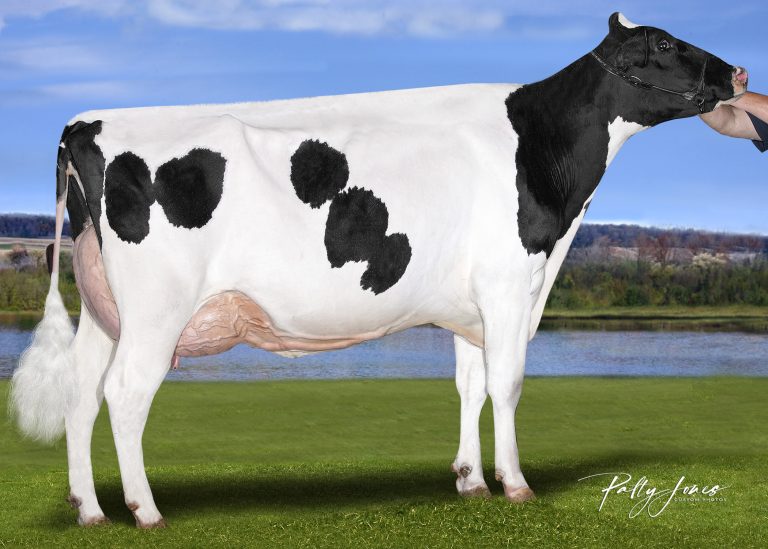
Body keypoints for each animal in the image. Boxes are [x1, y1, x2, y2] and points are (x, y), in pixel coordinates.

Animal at [10, 13, 747, 528]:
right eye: (661, 43)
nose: (739, 73)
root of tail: (85, 124)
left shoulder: (469, 304)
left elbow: (470, 385)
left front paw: (470, 480)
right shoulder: (510, 284)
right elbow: (506, 385)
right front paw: (515, 484)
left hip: (104, 308)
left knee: (81, 393)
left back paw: (91, 509)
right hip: (156, 311)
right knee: (124, 395)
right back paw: (146, 510)